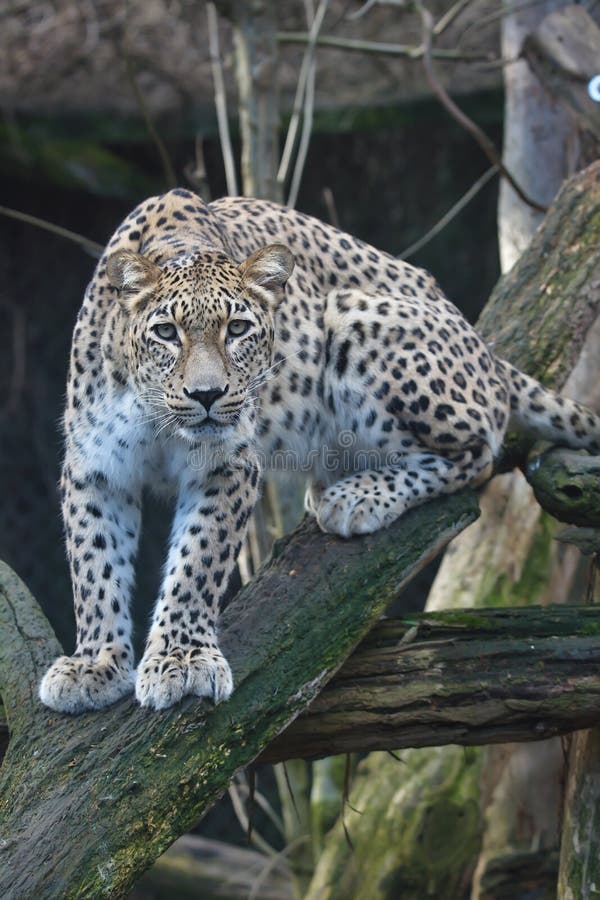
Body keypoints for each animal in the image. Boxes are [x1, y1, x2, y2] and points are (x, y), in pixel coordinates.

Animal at [39, 187, 600, 714]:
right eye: (165, 332)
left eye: (237, 329)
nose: (207, 395)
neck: (161, 421)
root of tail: (483, 346)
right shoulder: (95, 467)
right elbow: (95, 566)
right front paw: (94, 664)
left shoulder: (229, 463)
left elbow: (198, 560)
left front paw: (181, 657)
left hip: (353, 319)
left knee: (480, 448)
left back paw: (357, 496)